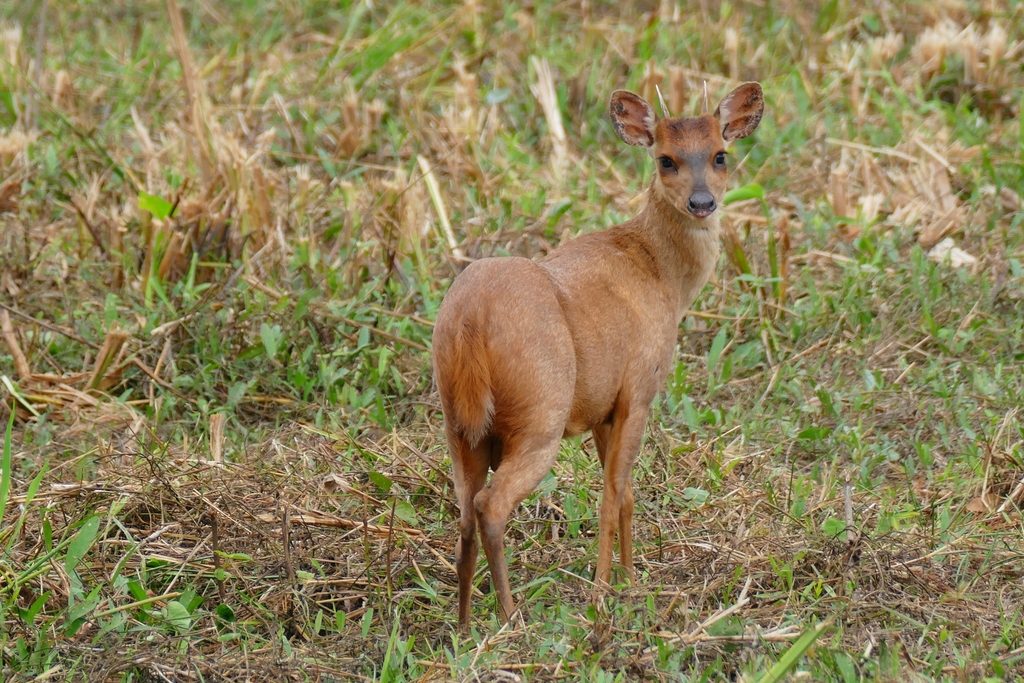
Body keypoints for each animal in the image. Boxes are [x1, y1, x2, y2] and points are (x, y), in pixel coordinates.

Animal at [432, 81, 764, 632]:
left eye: (720, 154)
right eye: (666, 160)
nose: (702, 202)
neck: (663, 276)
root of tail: (469, 322)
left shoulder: (601, 408)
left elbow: (624, 493)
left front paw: (631, 581)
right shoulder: (639, 388)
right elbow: (611, 496)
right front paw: (603, 594)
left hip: (459, 424)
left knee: (462, 511)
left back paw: (462, 627)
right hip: (541, 411)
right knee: (490, 507)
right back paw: (511, 617)